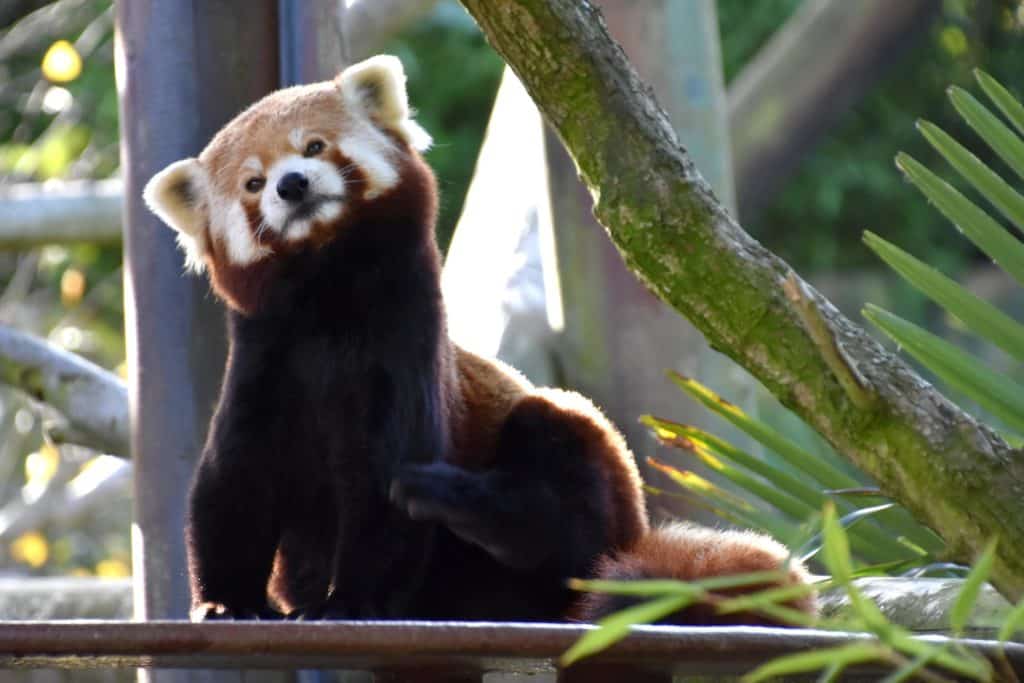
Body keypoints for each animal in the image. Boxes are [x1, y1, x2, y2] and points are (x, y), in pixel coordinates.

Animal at [143, 55, 815, 623]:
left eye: (314, 146)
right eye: (252, 185)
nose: (293, 185)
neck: (328, 298)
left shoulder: (405, 355)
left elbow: (380, 491)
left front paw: (349, 602)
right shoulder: (265, 368)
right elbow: (234, 483)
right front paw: (228, 602)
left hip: (585, 461)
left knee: (563, 495)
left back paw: (467, 502)